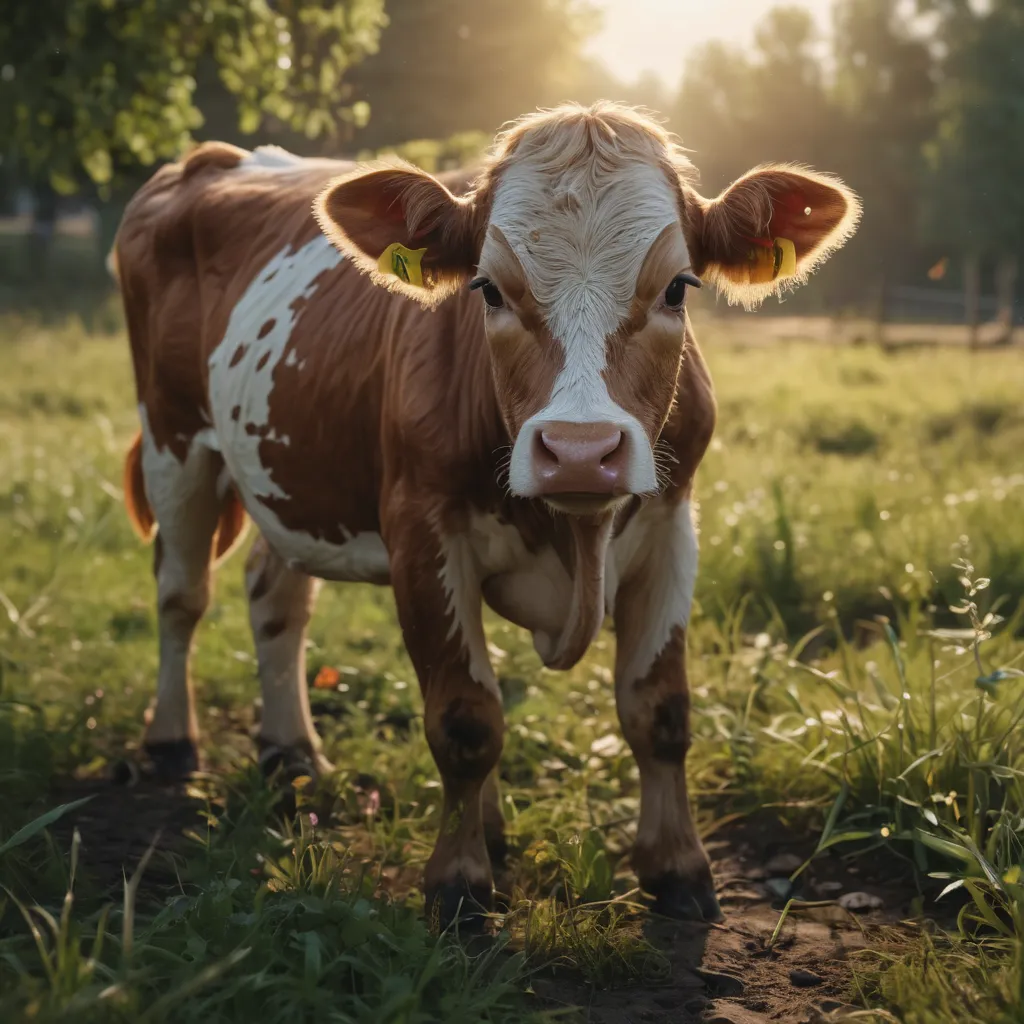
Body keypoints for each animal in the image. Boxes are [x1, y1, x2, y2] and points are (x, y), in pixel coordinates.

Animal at [112, 102, 859, 928]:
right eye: (489, 291)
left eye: (677, 288)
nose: (579, 451)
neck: (573, 533)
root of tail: (214, 159)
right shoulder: (422, 534)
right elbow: (467, 719)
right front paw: (461, 880)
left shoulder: (673, 526)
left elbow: (659, 710)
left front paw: (677, 869)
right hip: (173, 440)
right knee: (181, 594)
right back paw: (172, 741)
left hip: (288, 464)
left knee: (276, 597)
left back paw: (292, 752)